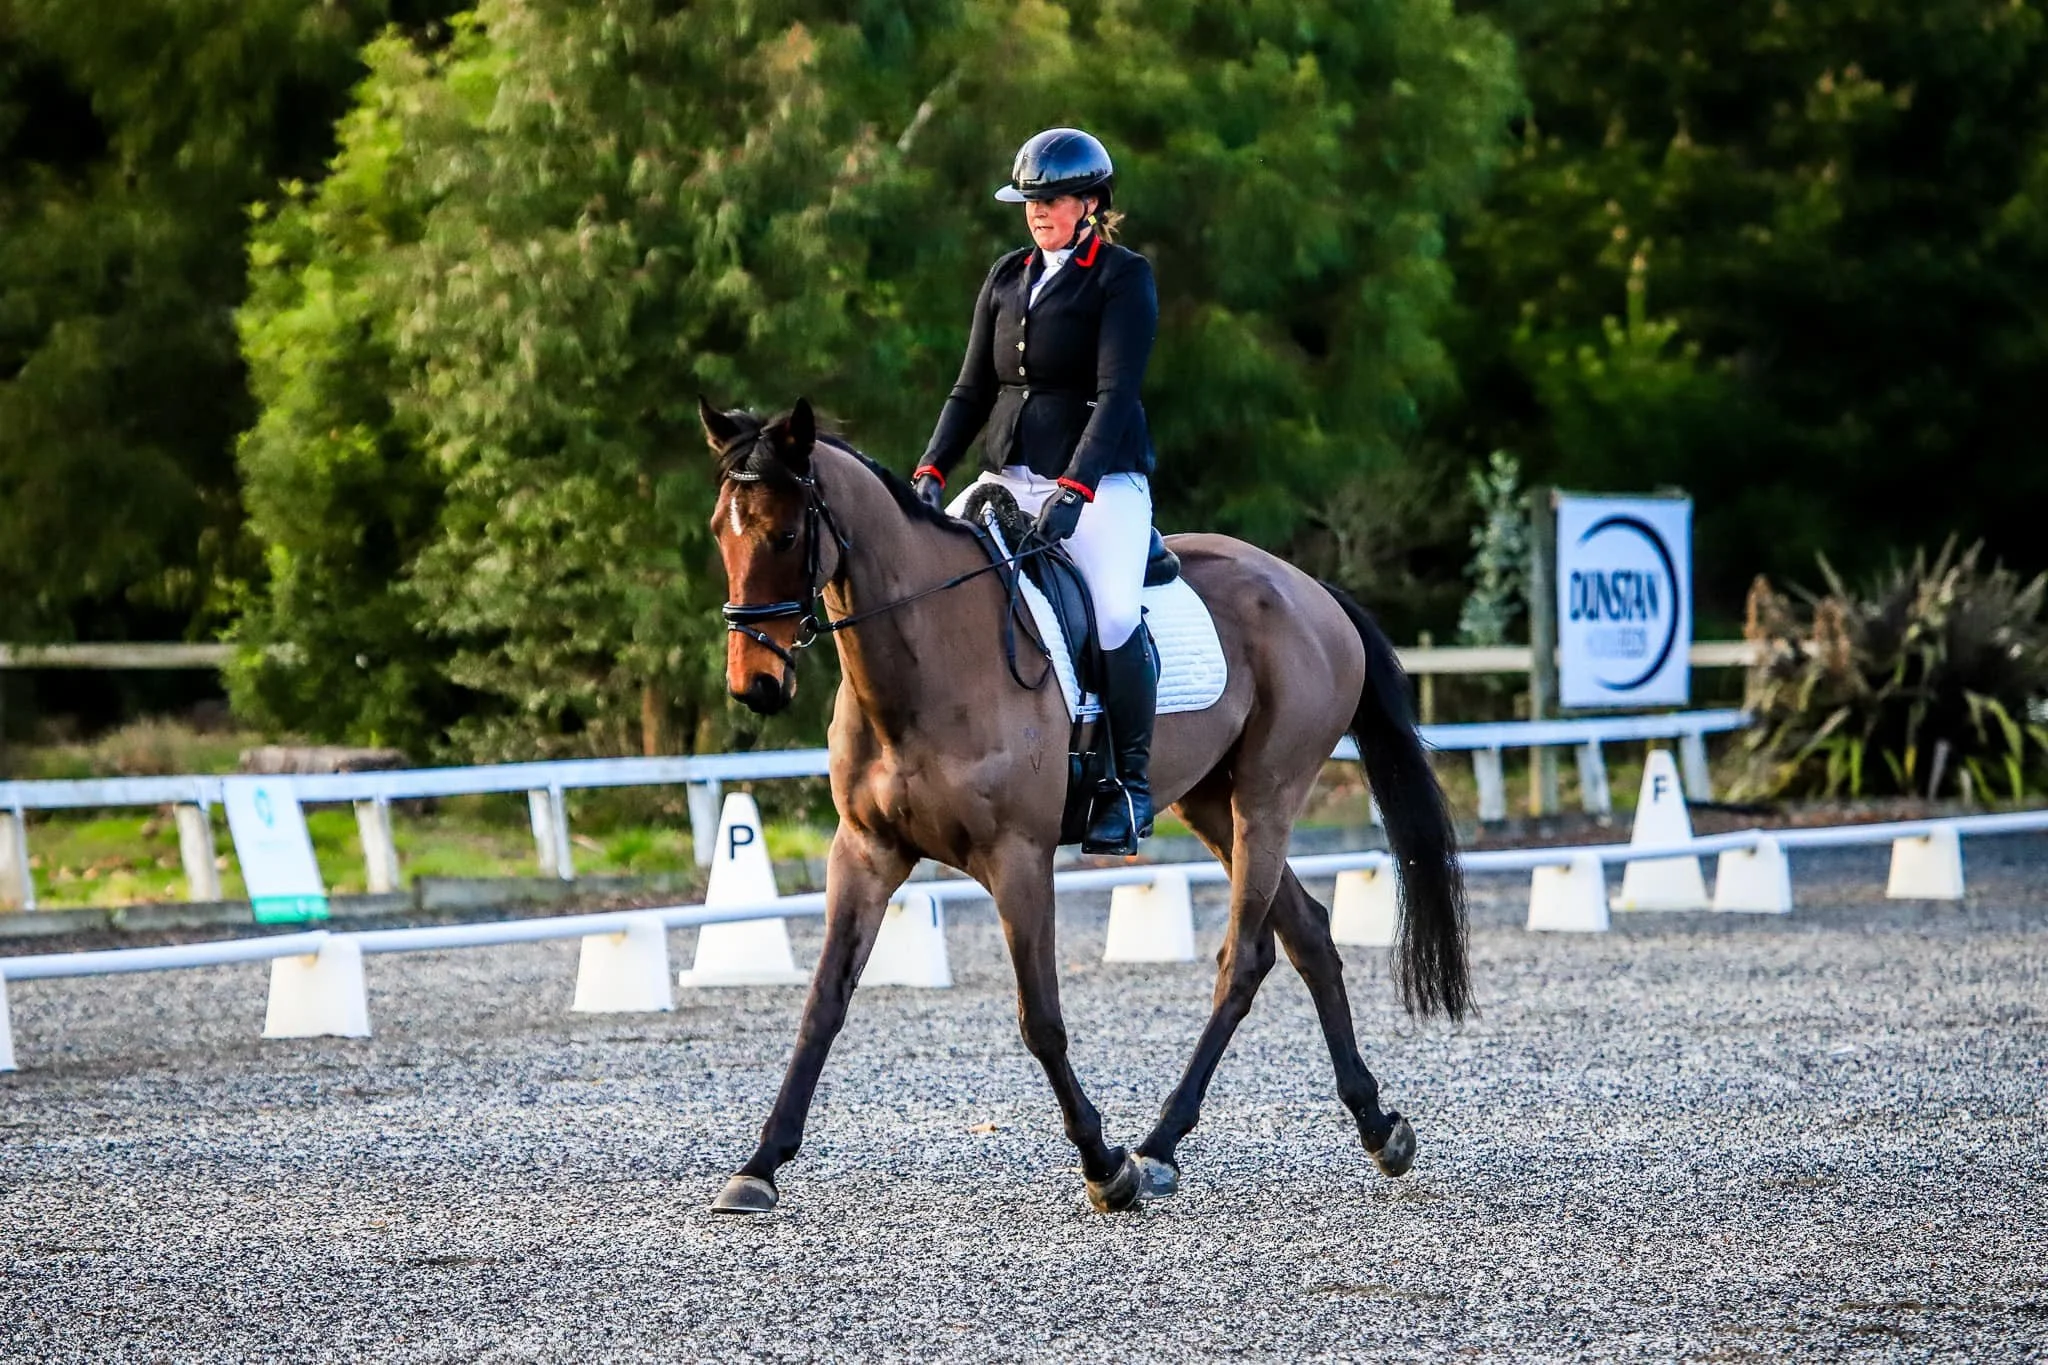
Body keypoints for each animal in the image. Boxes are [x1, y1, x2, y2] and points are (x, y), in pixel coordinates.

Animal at [700, 397, 1468, 1214]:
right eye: (721, 530)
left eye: (786, 534)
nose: (754, 685)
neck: (925, 663)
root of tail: (1314, 591)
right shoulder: (866, 850)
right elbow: (823, 1003)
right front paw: (759, 1164)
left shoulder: (1019, 856)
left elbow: (1041, 1019)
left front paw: (1105, 1165)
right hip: (1210, 802)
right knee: (1307, 935)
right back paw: (1376, 1125)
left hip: (1268, 796)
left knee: (1245, 956)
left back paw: (1157, 1146)